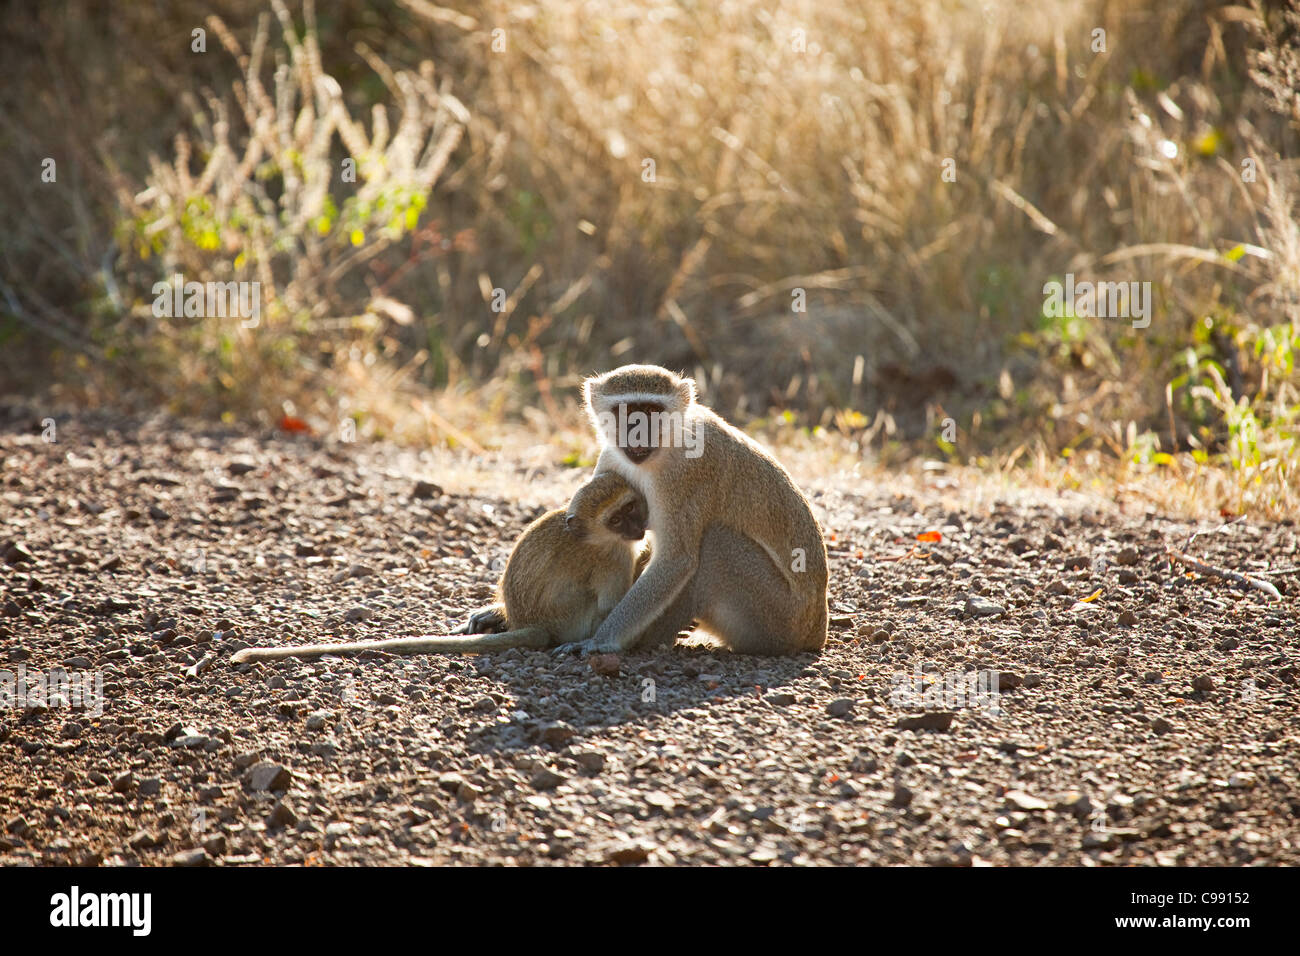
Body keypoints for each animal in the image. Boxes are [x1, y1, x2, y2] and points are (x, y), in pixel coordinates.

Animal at [230, 473, 650, 664]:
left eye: (632, 507)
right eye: (618, 518)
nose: (639, 526)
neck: (594, 536)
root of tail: (537, 624)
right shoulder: (613, 558)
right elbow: (612, 605)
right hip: (575, 617)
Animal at [553, 364, 828, 657]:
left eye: (650, 410)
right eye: (625, 411)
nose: (636, 430)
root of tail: (816, 631)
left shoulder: (685, 476)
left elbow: (676, 559)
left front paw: (600, 640)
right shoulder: (610, 458)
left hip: (777, 617)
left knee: (715, 543)